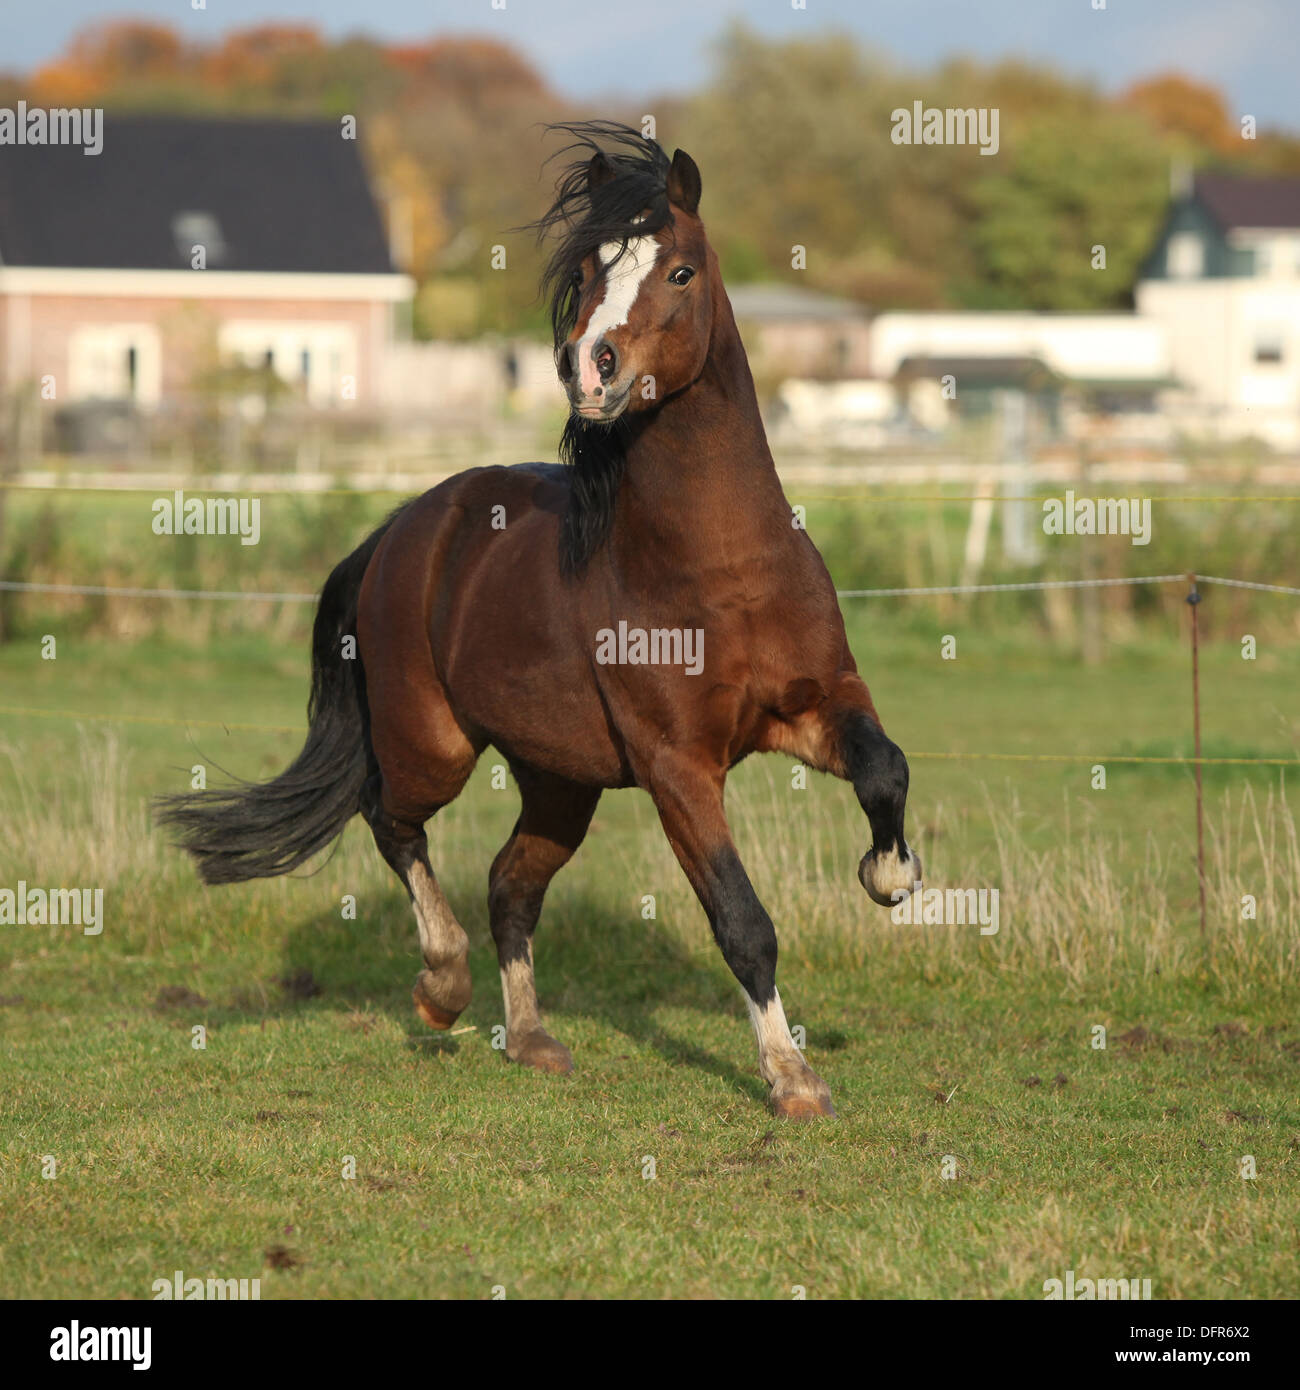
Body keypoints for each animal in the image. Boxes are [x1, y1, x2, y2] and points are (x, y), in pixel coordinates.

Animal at [157, 122, 921, 1119]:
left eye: (680, 270)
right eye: (589, 269)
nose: (587, 365)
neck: (724, 566)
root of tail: (399, 531)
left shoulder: (815, 704)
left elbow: (885, 768)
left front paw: (890, 878)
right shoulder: (679, 768)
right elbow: (742, 918)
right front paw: (792, 1080)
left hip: (562, 781)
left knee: (509, 884)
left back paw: (530, 1038)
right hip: (437, 746)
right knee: (390, 820)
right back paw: (442, 989)